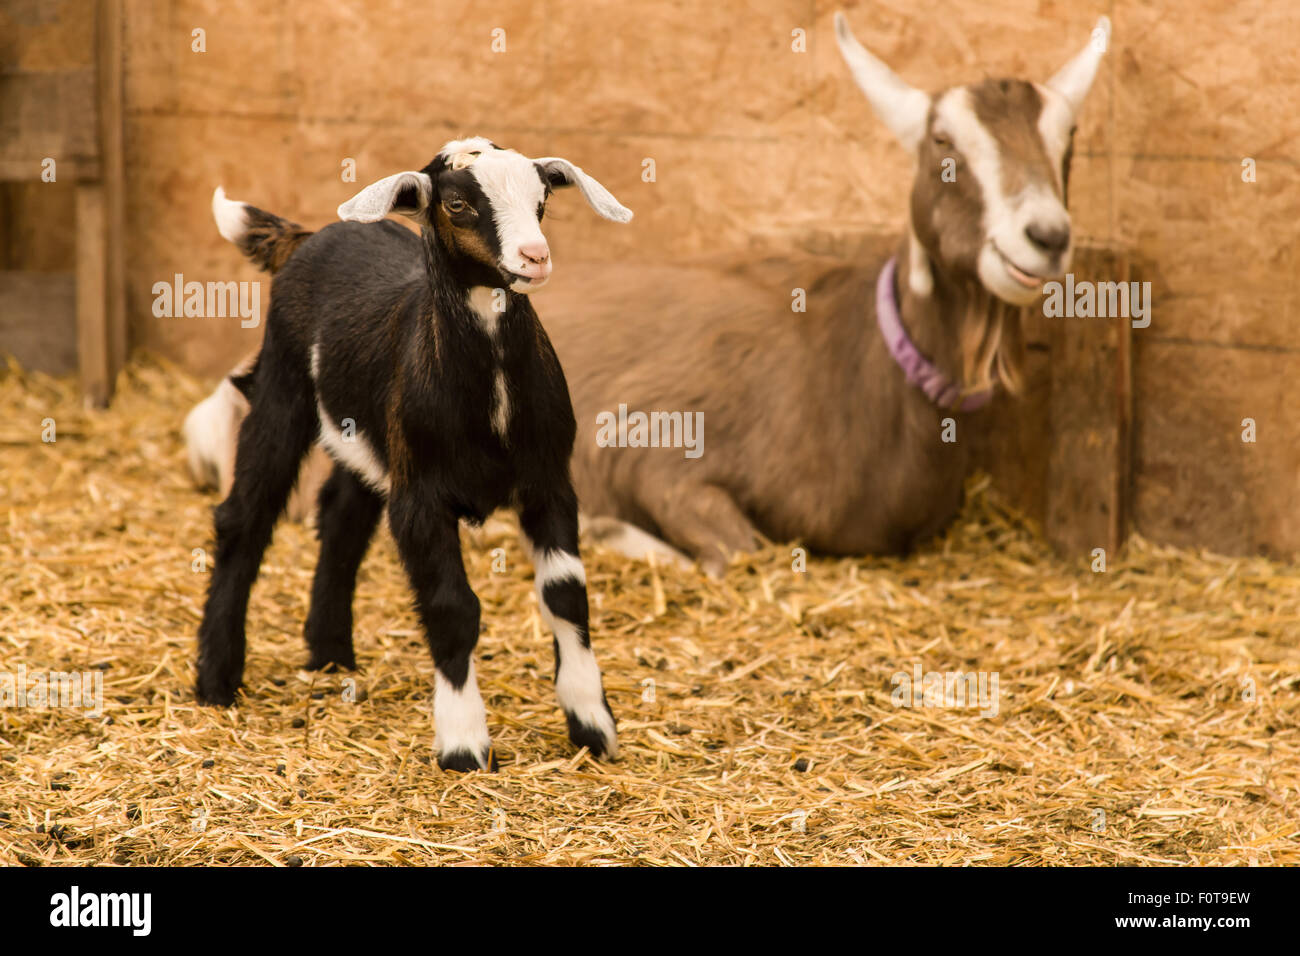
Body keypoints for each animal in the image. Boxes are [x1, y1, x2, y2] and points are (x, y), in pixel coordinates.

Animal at [195, 138, 632, 771]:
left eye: (542, 199)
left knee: (341, 517)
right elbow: (452, 607)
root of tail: (311, 237)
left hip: (370, 435)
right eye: (456, 203)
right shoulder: (421, 497)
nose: (535, 256)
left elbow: (566, 596)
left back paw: (330, 651)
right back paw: (217, 680)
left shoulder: (549, 483)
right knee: (243, 519)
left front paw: (592, 724)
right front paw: (463, 743)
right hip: (281, 387)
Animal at [535, 13, 1112, 577]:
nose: (1047, 236)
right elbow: (736, 551)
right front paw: (603, 529)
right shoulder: (647, 438)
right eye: (943, 142)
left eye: (1070, 138)